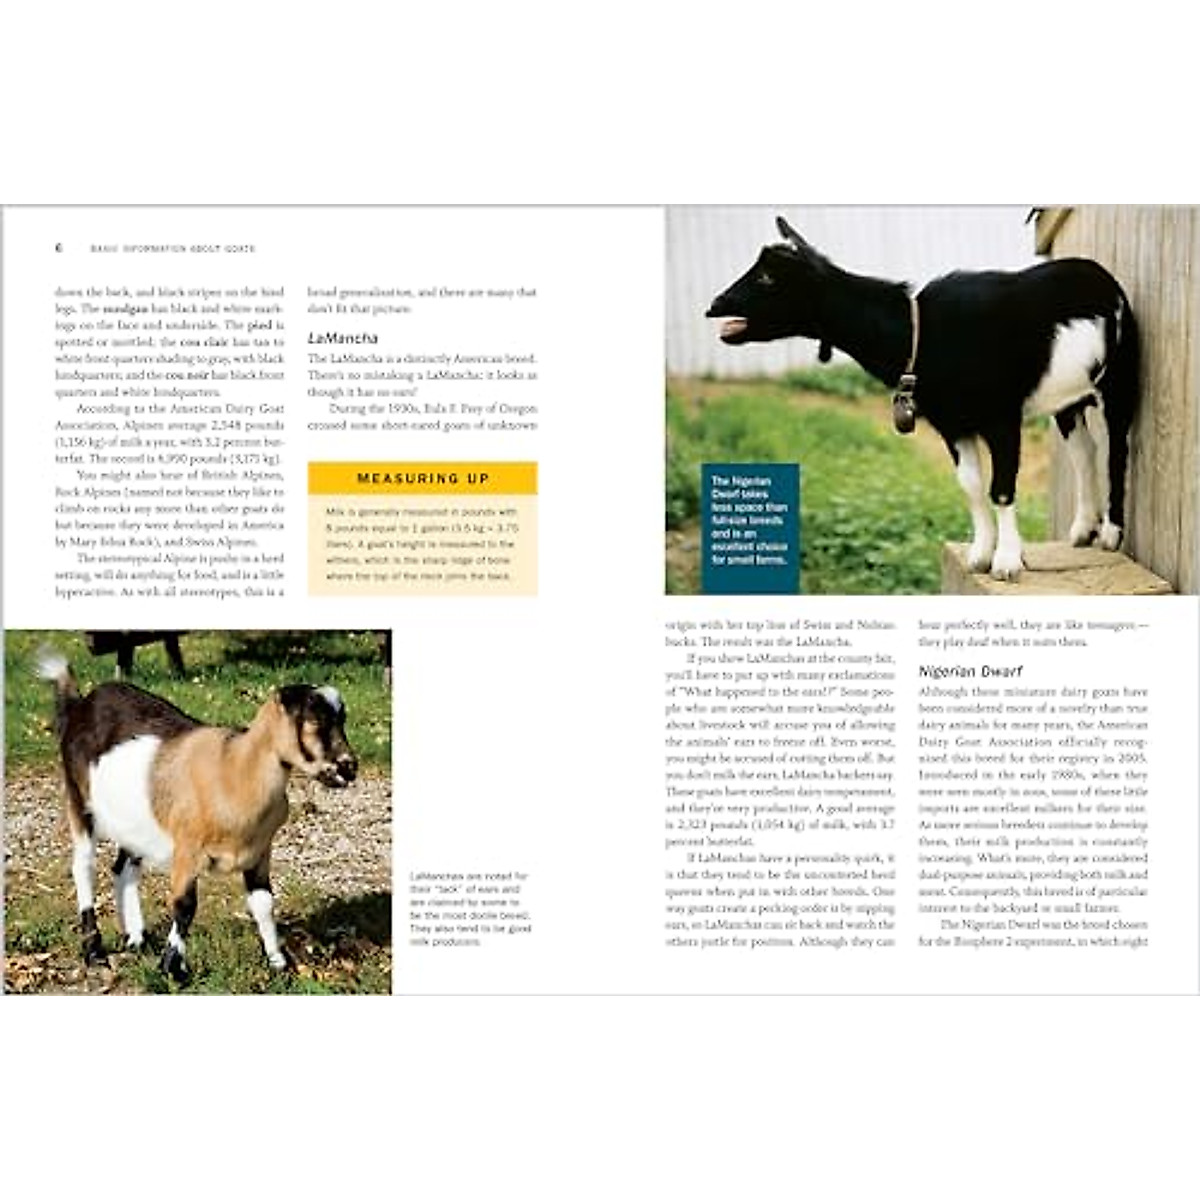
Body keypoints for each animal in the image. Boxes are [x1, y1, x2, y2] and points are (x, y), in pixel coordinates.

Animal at [36, 648, 358, 984]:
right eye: (315, 720)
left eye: (342, 720)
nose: (349, 768)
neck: (234, 768)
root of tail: (81, 703)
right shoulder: (187, 849)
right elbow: (185, 906)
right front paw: (172, 969)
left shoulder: (259, 852)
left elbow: (264, 903)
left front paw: (279, 964)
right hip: (78, 799)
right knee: (84, 866)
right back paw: (94, 952)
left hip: (135, 821)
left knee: (123, 868)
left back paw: (136, 939)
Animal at [705, 216, 1140, 581]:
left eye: (767, 278)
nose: (714, 306)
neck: (919, 331)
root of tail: (1104, 278)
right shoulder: (953, 423)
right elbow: (970, 485)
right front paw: (979, 556)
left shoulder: (1001, 416)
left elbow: (1000, 487)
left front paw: (1006, 563)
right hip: (1067, 399)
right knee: (1084, 450)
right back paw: (1082, 530)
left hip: (1118, 379)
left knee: (1116, 448)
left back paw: (1110, 534)